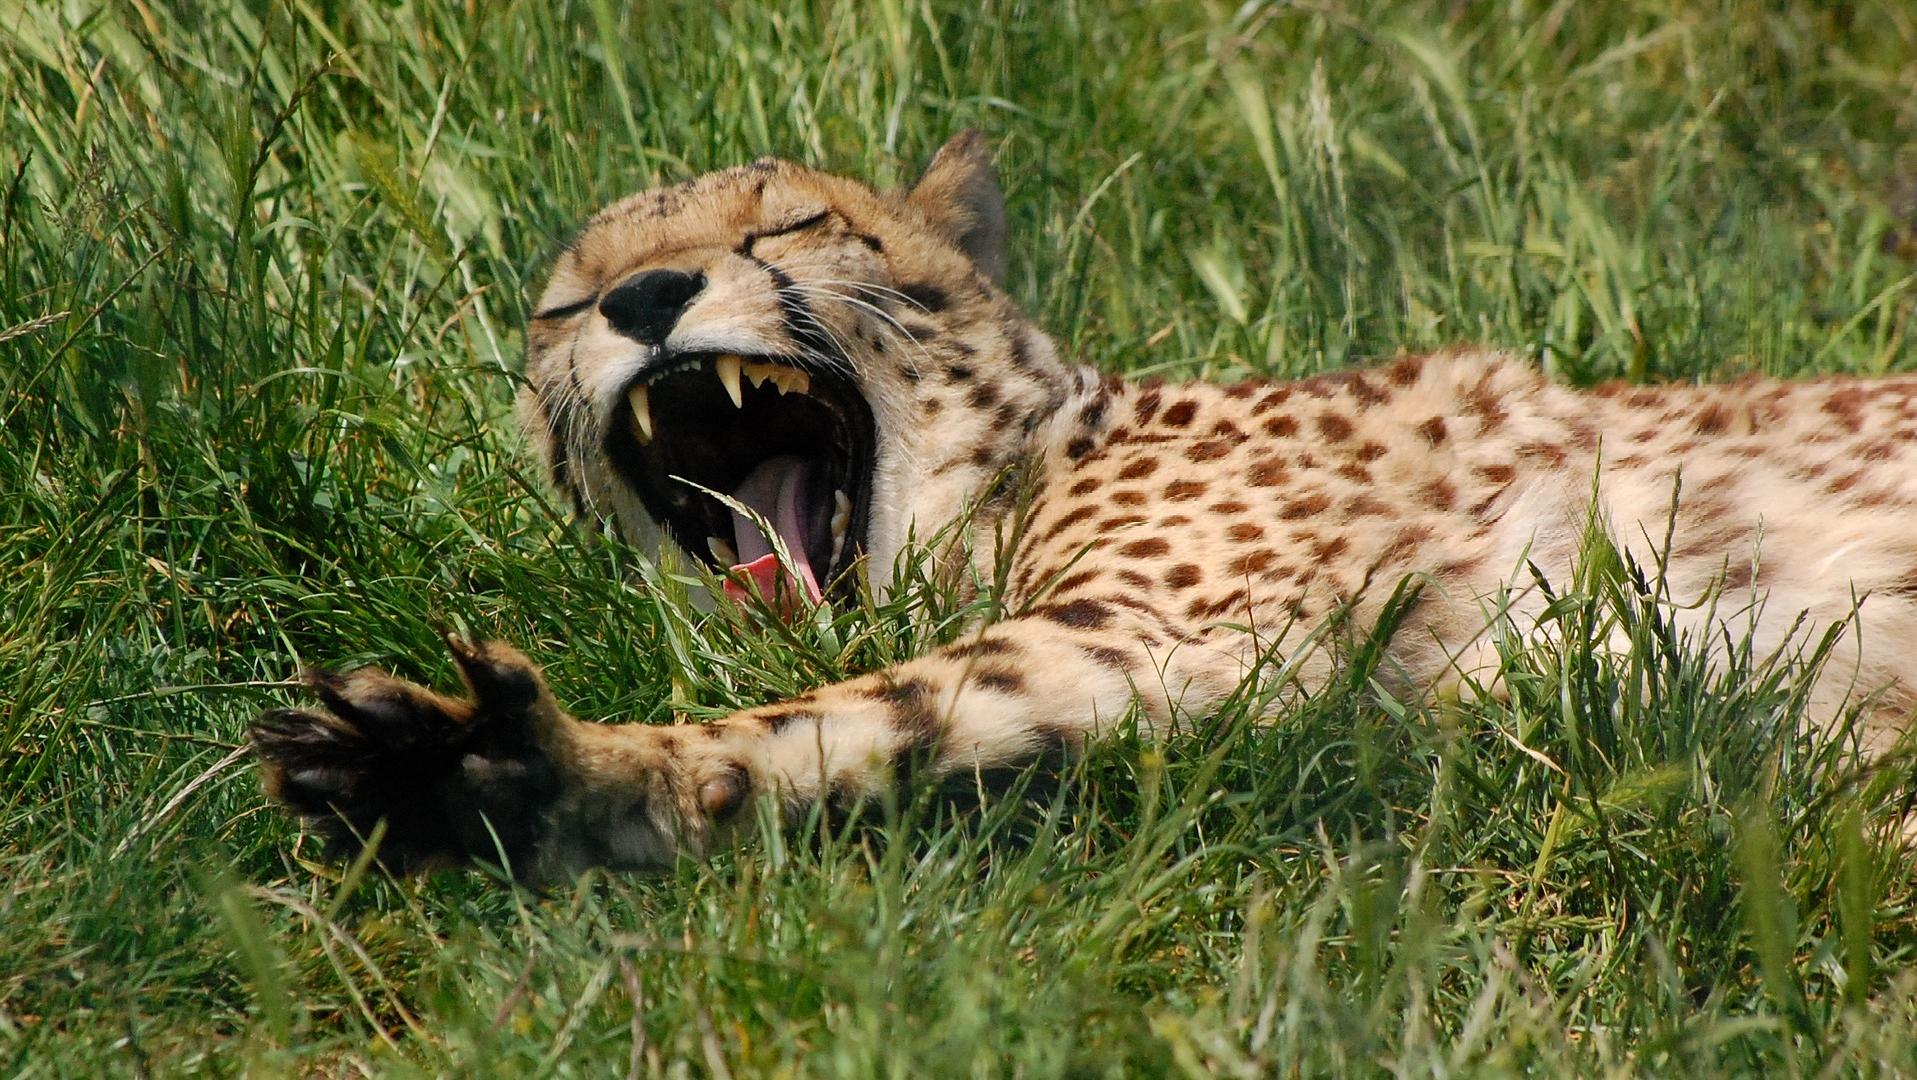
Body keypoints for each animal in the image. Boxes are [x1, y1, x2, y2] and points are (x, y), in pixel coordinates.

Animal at [250, 132, 1917, 879]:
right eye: (564, 304)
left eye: (792, 223)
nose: (647, 300)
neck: (1042, 458)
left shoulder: (1188, 637)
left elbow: (822, 718)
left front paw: (513, 769)